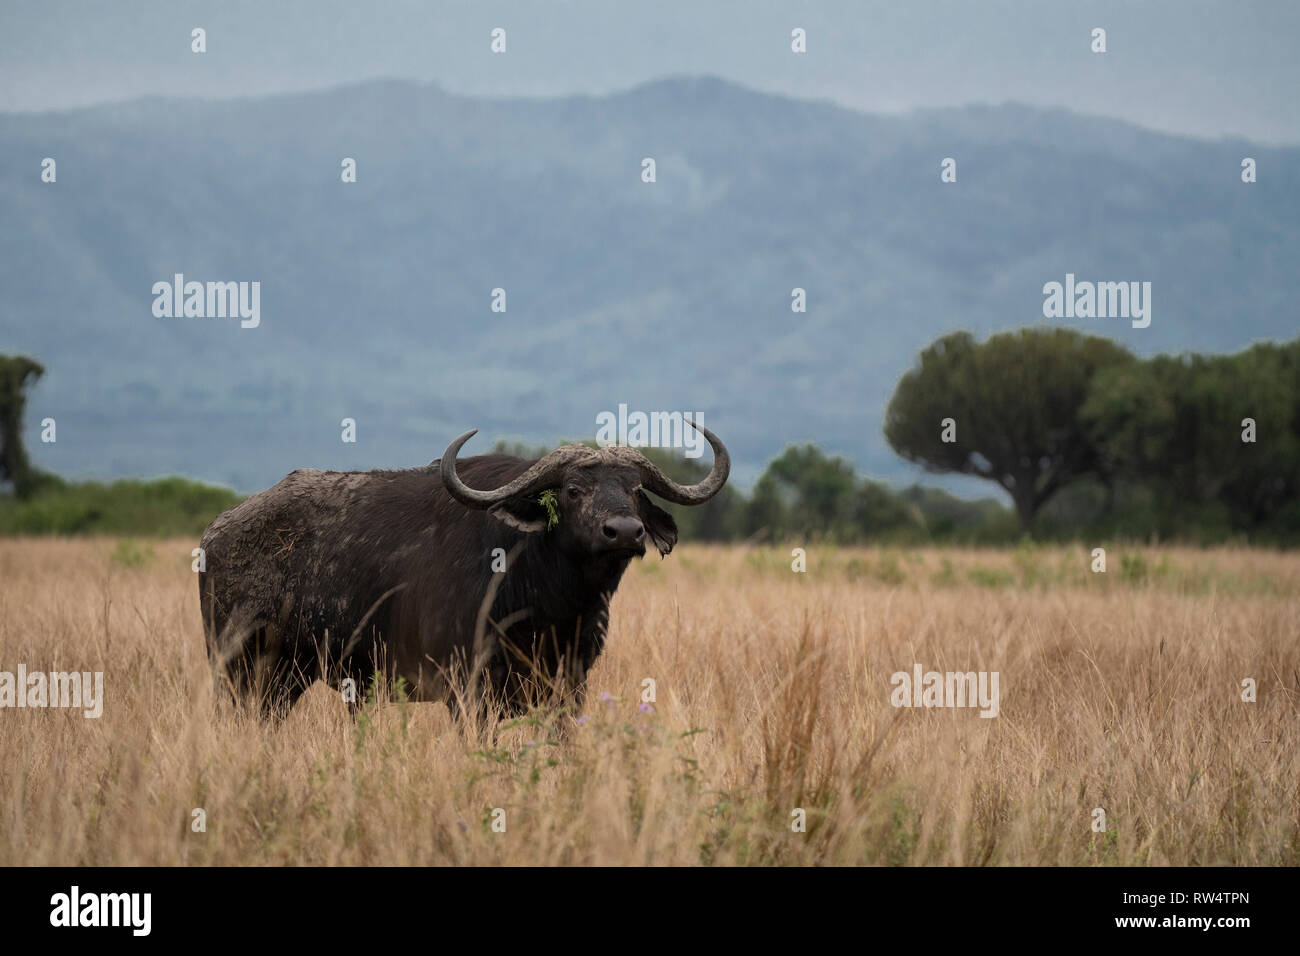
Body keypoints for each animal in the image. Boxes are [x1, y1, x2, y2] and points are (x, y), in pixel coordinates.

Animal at [198, 423, 729, 719]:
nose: (624, 531)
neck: (552, 602)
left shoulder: (569, 684)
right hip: (237, 672)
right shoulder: (468, 688)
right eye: (573, 490)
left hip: (283, 680)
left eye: (636, 489)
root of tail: (213, 537)